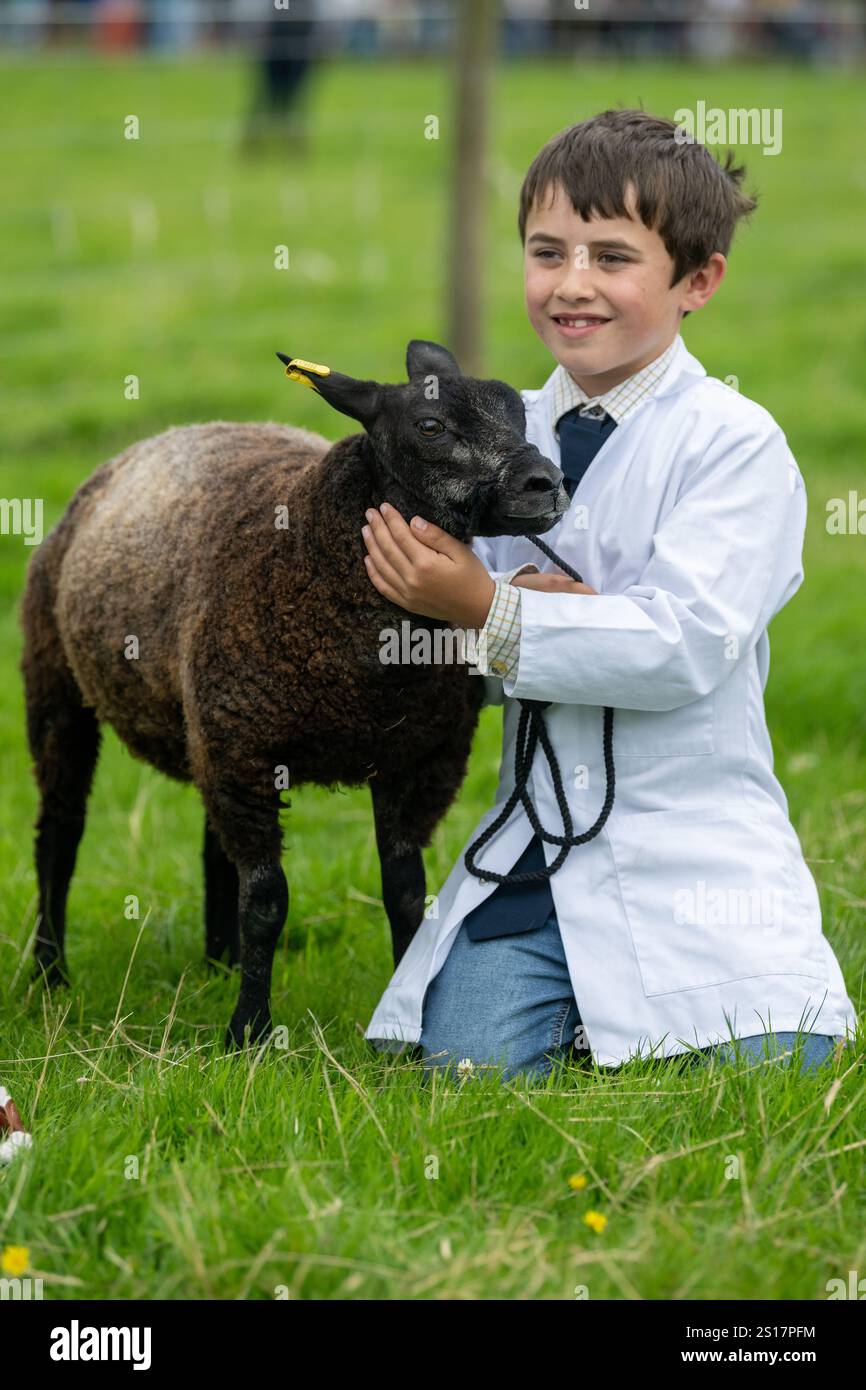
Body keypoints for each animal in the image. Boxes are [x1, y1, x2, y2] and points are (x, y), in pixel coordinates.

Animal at [19, 339, 567, 1048]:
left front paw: (400, 1028)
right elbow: (268, 901)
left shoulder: (417, 760)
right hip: (58, 684)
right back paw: (50, 973)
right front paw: (248, 1033)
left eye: (522, 417)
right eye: (430, 426)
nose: (547, 485)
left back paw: (219, 965)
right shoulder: (248, 755)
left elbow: (404, 891)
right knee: (60, 831)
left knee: (212, 847)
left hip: (209, 728)